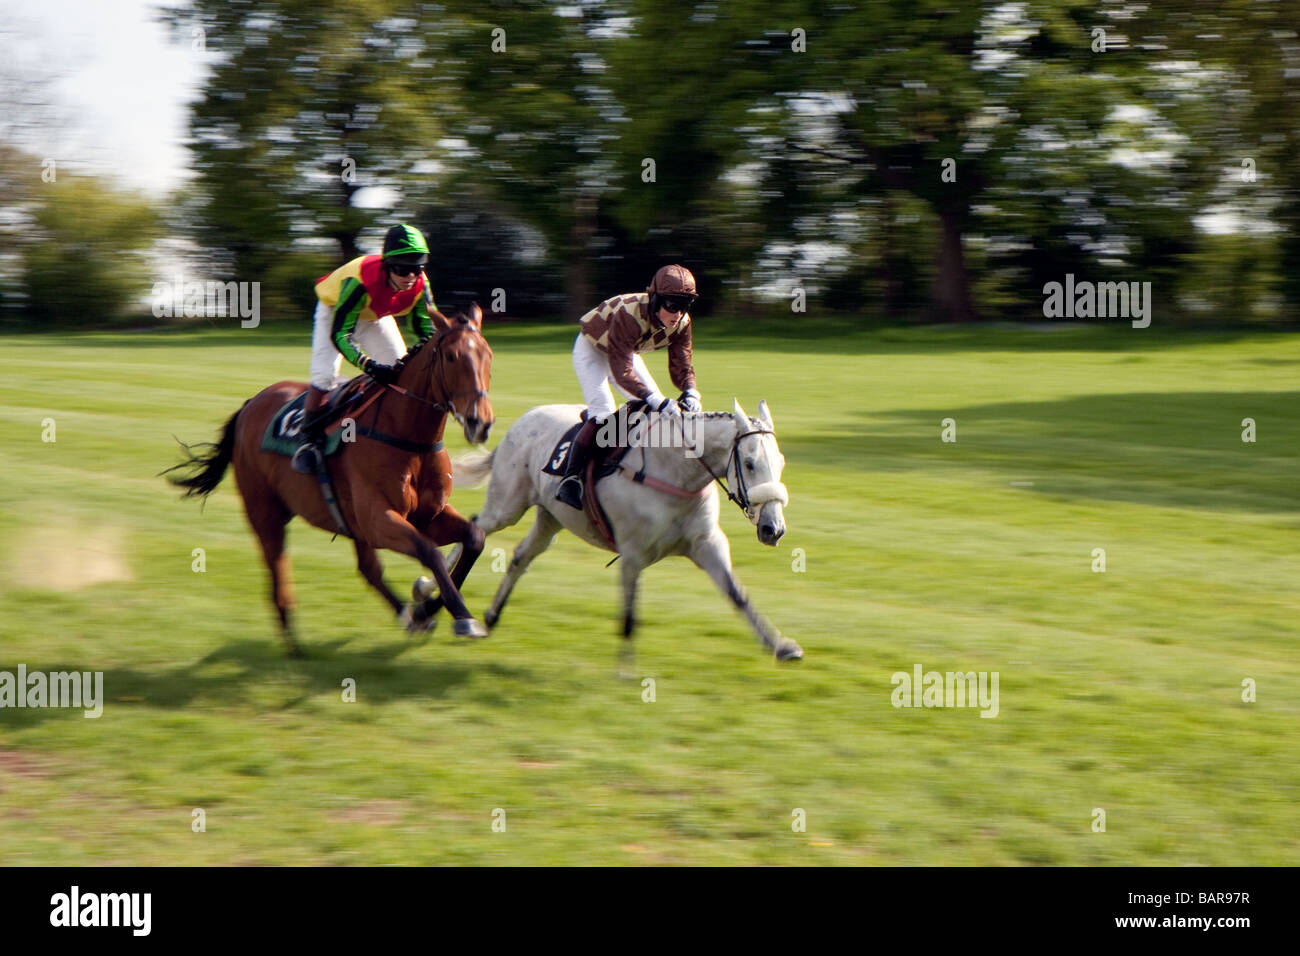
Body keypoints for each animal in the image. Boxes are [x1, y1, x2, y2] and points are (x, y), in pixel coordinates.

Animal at [165, 305, 494, 656]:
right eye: (451, 356)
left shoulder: (427, 515)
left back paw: (408, 617)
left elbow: (474, 537)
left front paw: (426, 610)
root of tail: (249, 404)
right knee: (278, 572)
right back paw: (293, 646)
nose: (480, 422)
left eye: (487, 355)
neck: (406, 434)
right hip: (264, 512)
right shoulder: (379, 520)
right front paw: (461, 617)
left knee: (368, 569)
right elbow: (430, 552)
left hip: (349, 523)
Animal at [447, 399, 803, 664]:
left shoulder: (706, 544)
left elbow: (737, 595)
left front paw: (781, 646)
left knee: (521, 556)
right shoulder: (633, 552)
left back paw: (491, 613)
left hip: (551, 518)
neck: (677, 471)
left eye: (781, 462)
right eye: (750, 463)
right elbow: (630, 614)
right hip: (507, 506)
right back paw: (440, 592)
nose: (773, 529)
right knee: (475, 526)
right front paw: (626, 671)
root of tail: (519, 423)